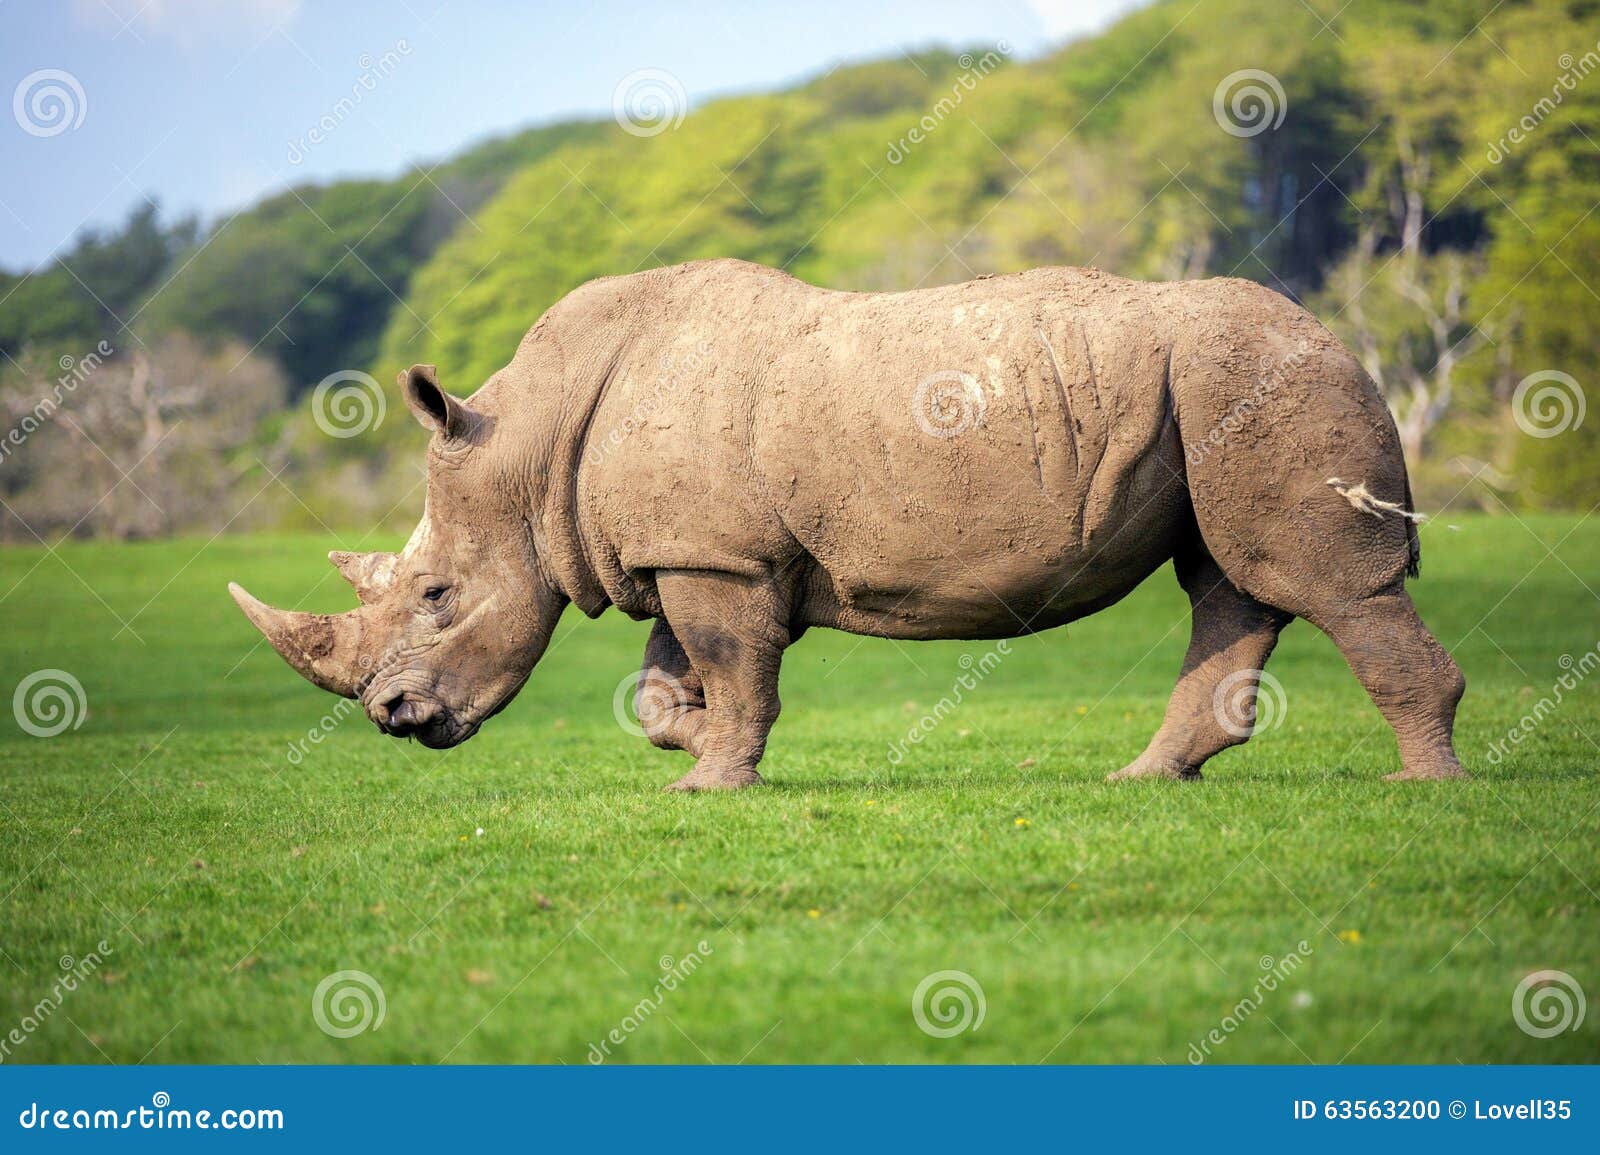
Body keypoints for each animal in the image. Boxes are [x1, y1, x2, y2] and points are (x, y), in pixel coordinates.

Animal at [231, 259, 1466, 789]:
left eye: (436, 595)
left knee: (1324, 585)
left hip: (1257, 374)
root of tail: (1334, 329)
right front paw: (697, 755)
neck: (528, 446)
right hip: (1219, 389)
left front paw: (712, 786)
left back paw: (1424, 787)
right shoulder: (697, 549)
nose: (393, 717)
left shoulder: (713, 559)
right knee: (1231, 582)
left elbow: (731, 670)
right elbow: (665, 684)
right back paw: (1148, 780)